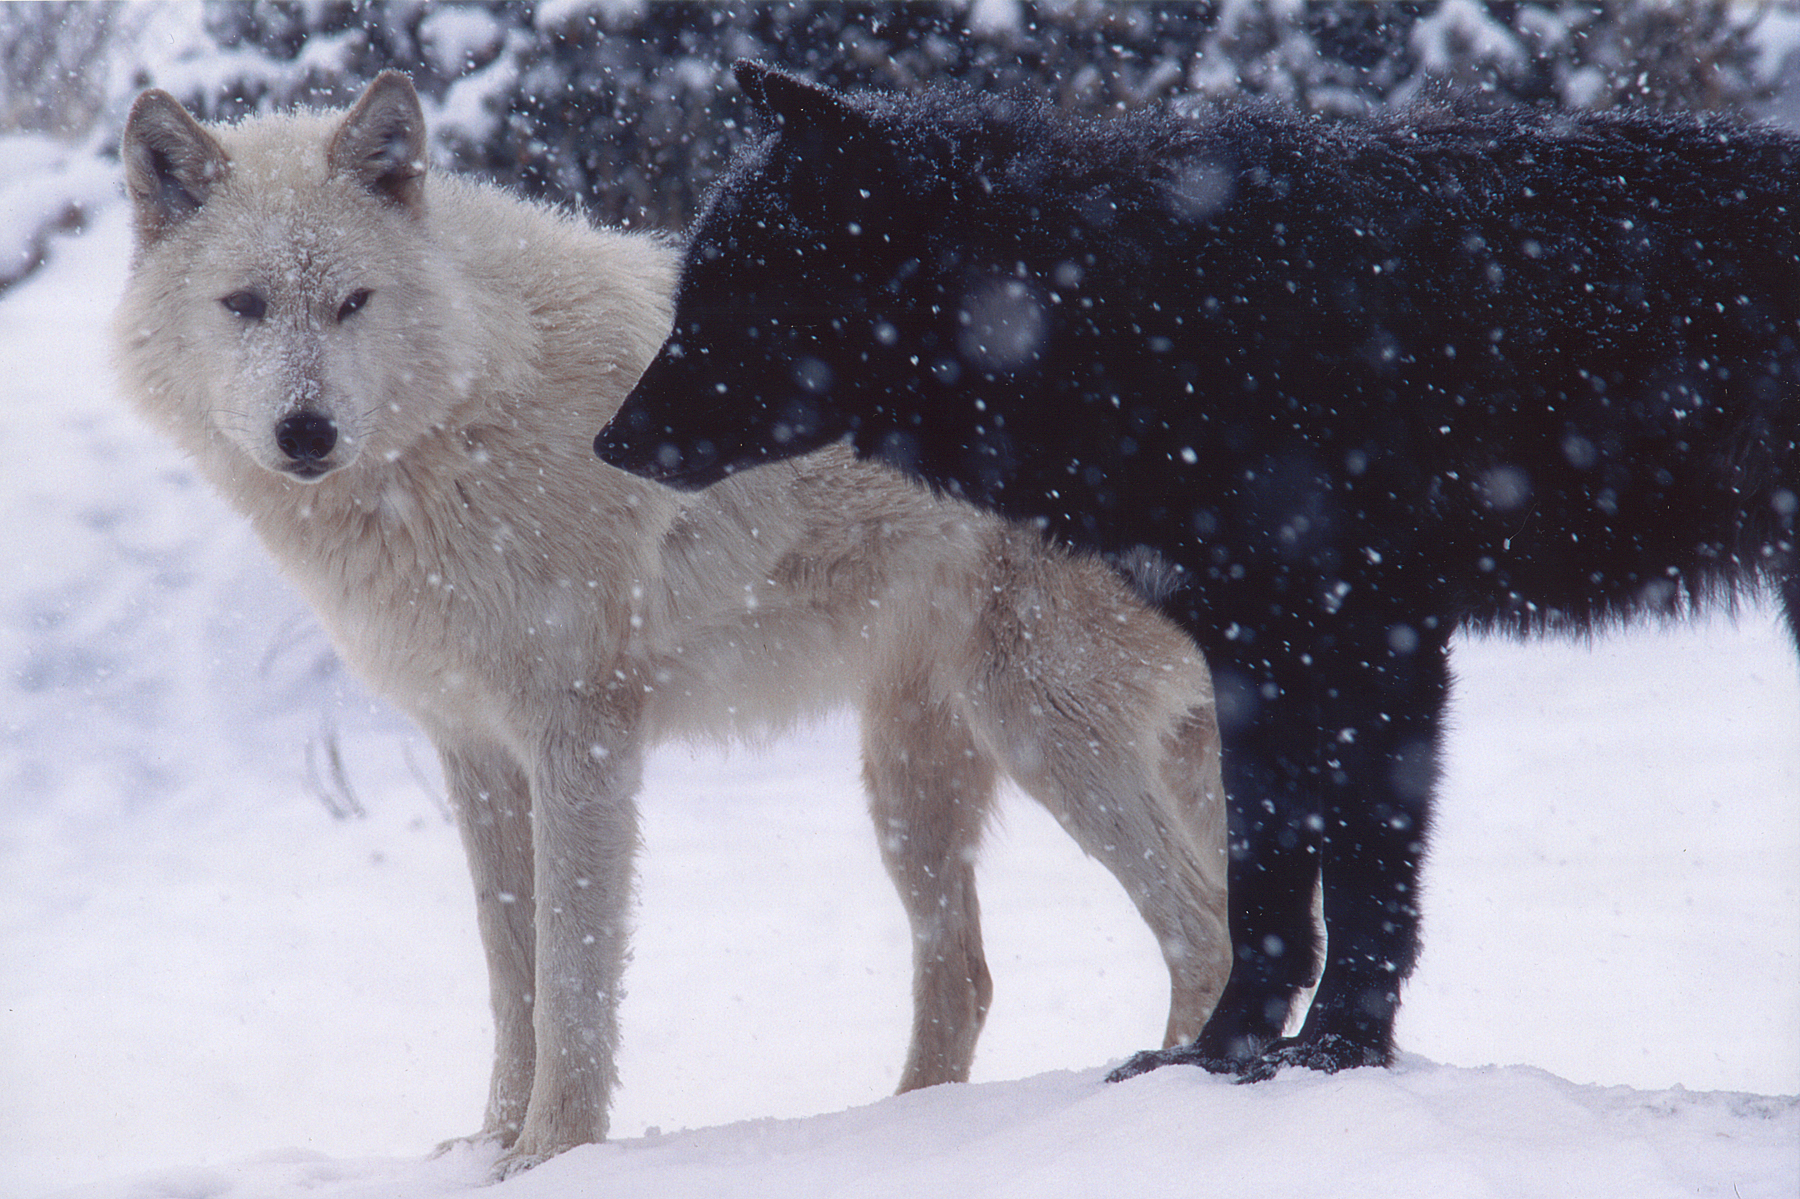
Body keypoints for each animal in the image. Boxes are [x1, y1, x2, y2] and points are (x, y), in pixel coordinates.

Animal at [113, 73, 1231, 1175]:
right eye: (244, 305)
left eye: (352, 303)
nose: (306, 432)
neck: (467, 418)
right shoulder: (474, 750)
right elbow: (510, 970)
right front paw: (486, 1147)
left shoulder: (583, 738)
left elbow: (570, 979)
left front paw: (550, 1153)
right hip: (916, 782)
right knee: (973, 975)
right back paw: (908, 1130)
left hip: (1040, 730)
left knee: (1202, 936)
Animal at [597, 64, 1800, 1082]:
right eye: (689, 294)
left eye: (730, 296)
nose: (607, 444)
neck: (1141, 309)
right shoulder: (1255, 653)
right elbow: (1264, 886)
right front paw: (1219, 1059)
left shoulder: (1378, 640)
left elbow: (1362, 878)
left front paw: (1338, 1053)